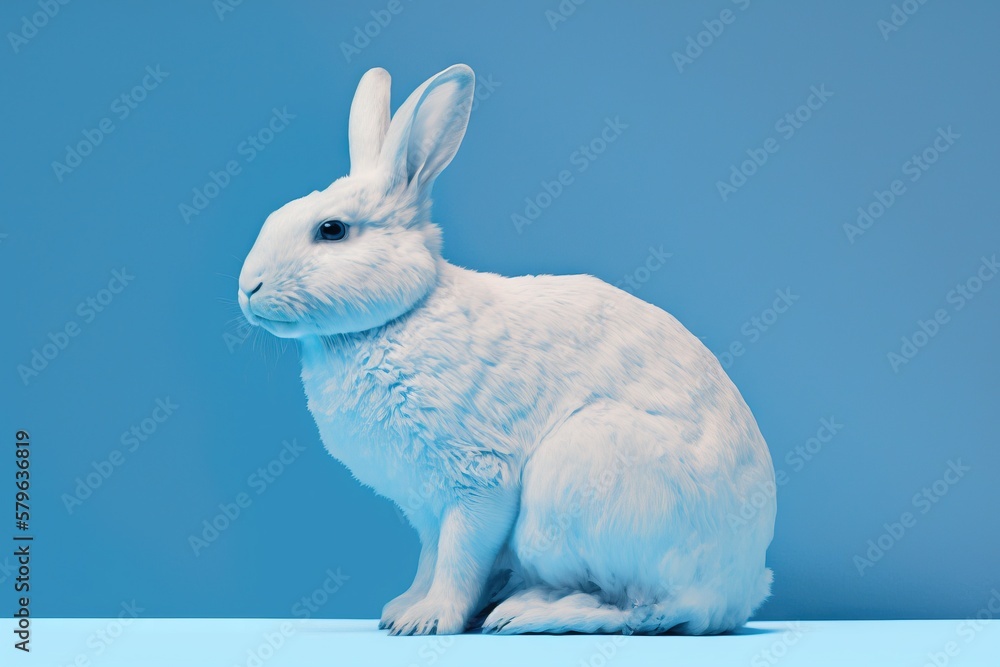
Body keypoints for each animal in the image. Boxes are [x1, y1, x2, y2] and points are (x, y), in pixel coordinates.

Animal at [237, 64, 776, 636]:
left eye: (332, 229)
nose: (247, 288)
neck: (398, 317)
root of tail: (734, 595)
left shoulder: (479, 483)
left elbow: (458, 560)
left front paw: (431, 620)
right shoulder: (426, 509)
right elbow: (430, 559)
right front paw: (402, 611)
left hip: (581, 479)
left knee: (643, 607)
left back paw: (525, 613)